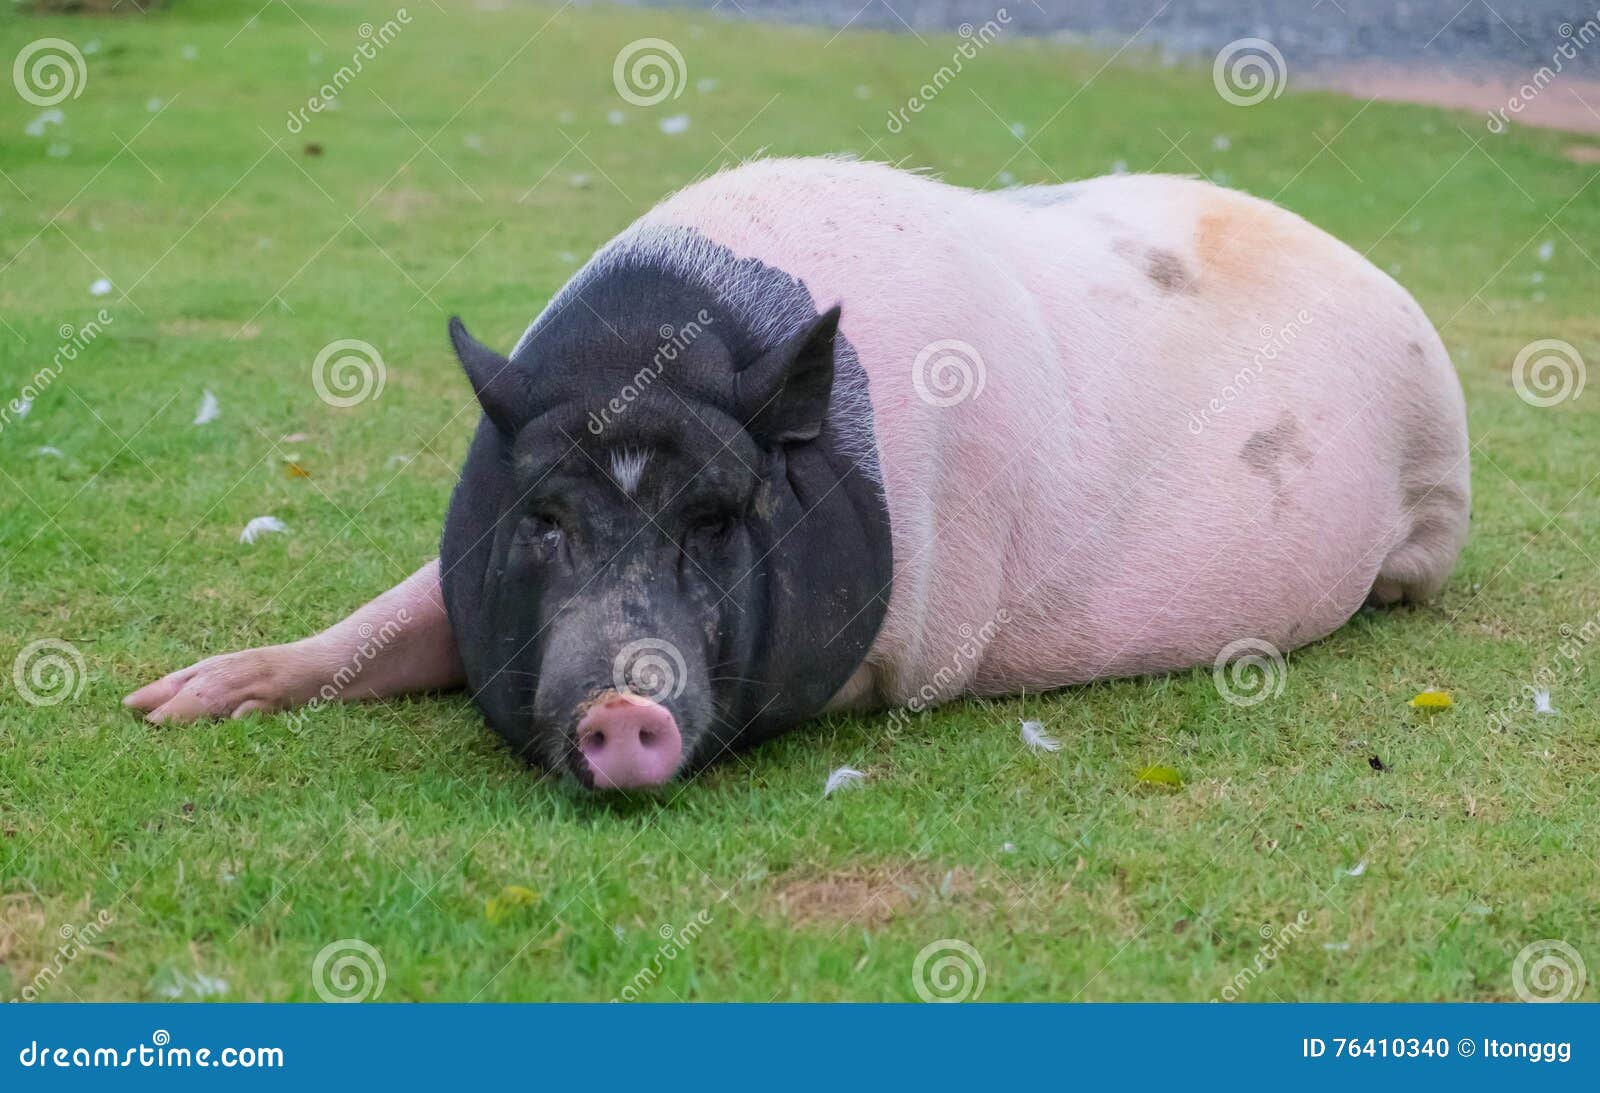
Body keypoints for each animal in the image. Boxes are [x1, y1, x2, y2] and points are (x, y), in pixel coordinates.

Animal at [125, 157, 1470, 789]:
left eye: (721, 517)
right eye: (543, 517)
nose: (621, 700)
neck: (646, 358)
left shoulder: (905, 644)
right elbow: (390, 620)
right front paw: (167, 704)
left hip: (1437, 490)